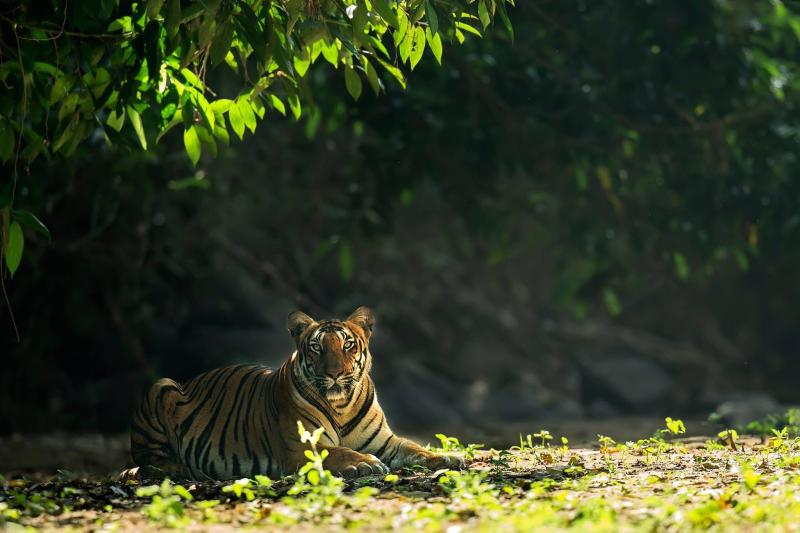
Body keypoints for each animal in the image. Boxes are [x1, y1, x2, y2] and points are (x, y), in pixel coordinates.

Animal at [127, 306, 463, 480]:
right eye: (316, 347)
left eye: (347, 345)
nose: (335, 374)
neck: (342, 406)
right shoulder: (301, 446)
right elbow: (337, 451)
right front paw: (364, 463)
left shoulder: (387, 442)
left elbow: (415, 447)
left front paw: (447, 457)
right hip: (162, 386)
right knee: (148, 461)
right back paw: (180, 468)